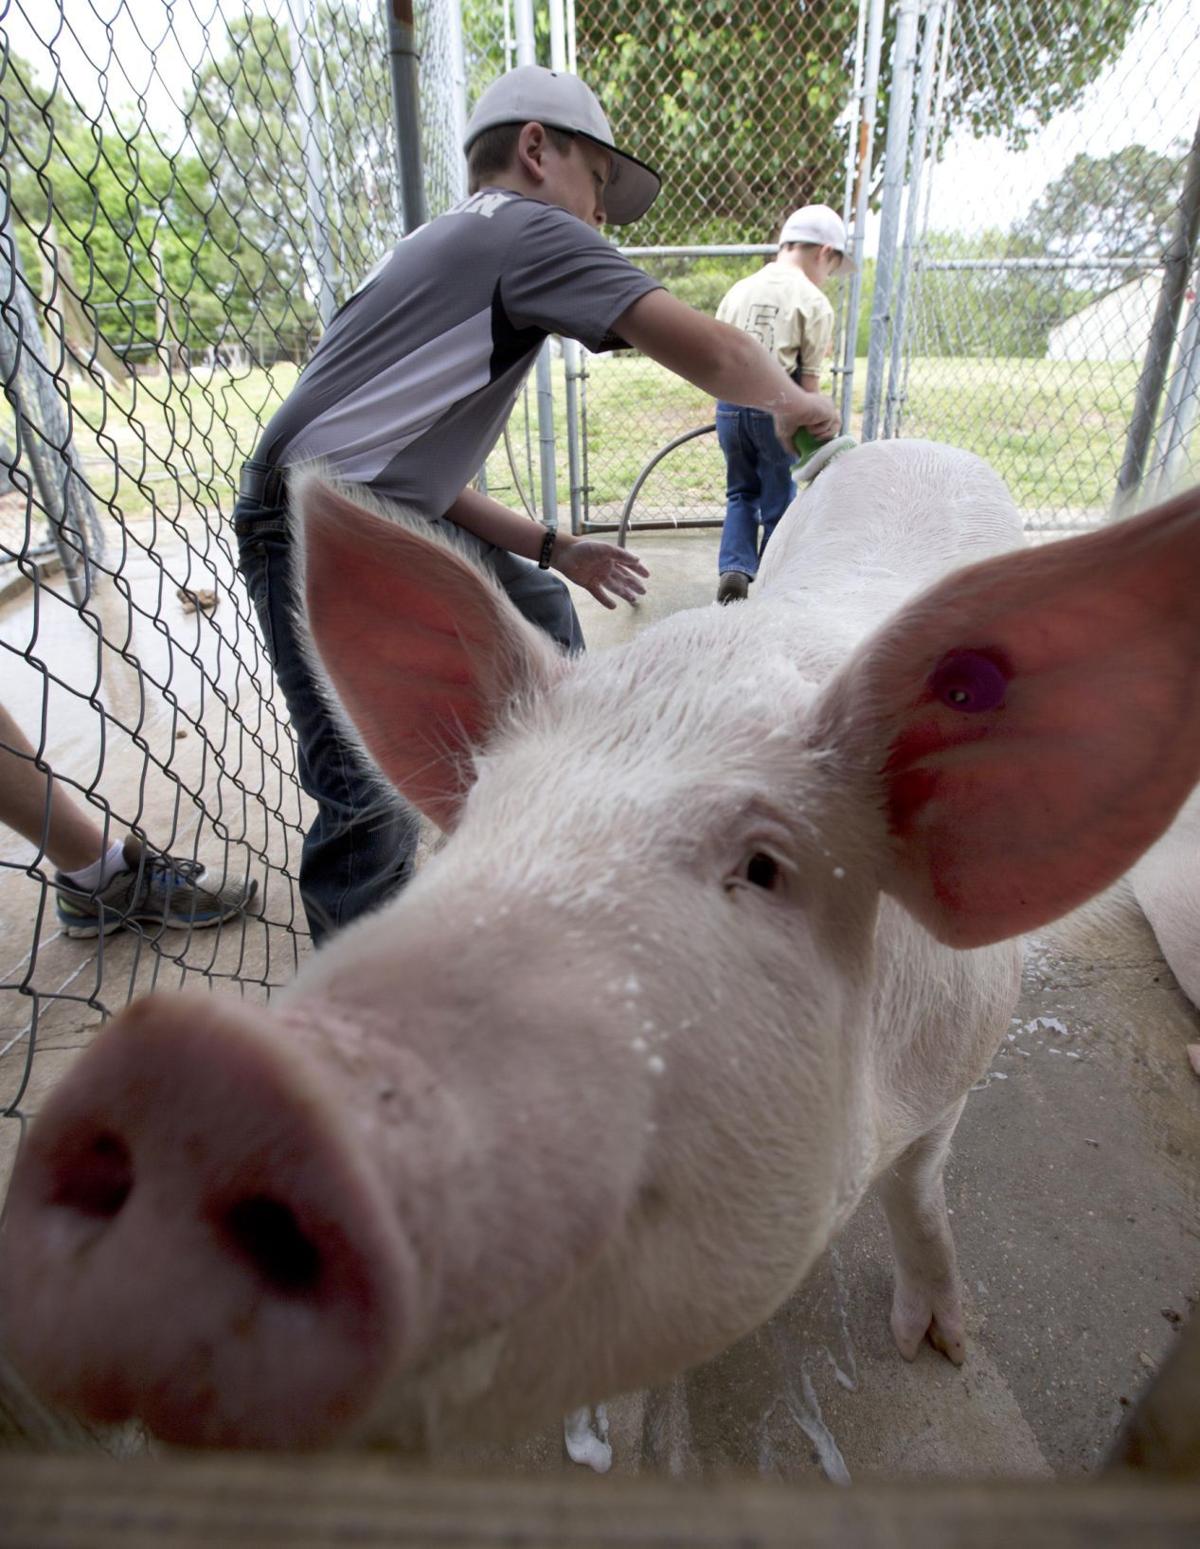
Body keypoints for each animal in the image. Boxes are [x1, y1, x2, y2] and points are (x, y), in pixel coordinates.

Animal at [3, 440, 1200, 1454]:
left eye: (764, 867)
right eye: (483, 815)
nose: (205, 1078)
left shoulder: (960, 1056)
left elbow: (921, 1191)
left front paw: (937, 1347)